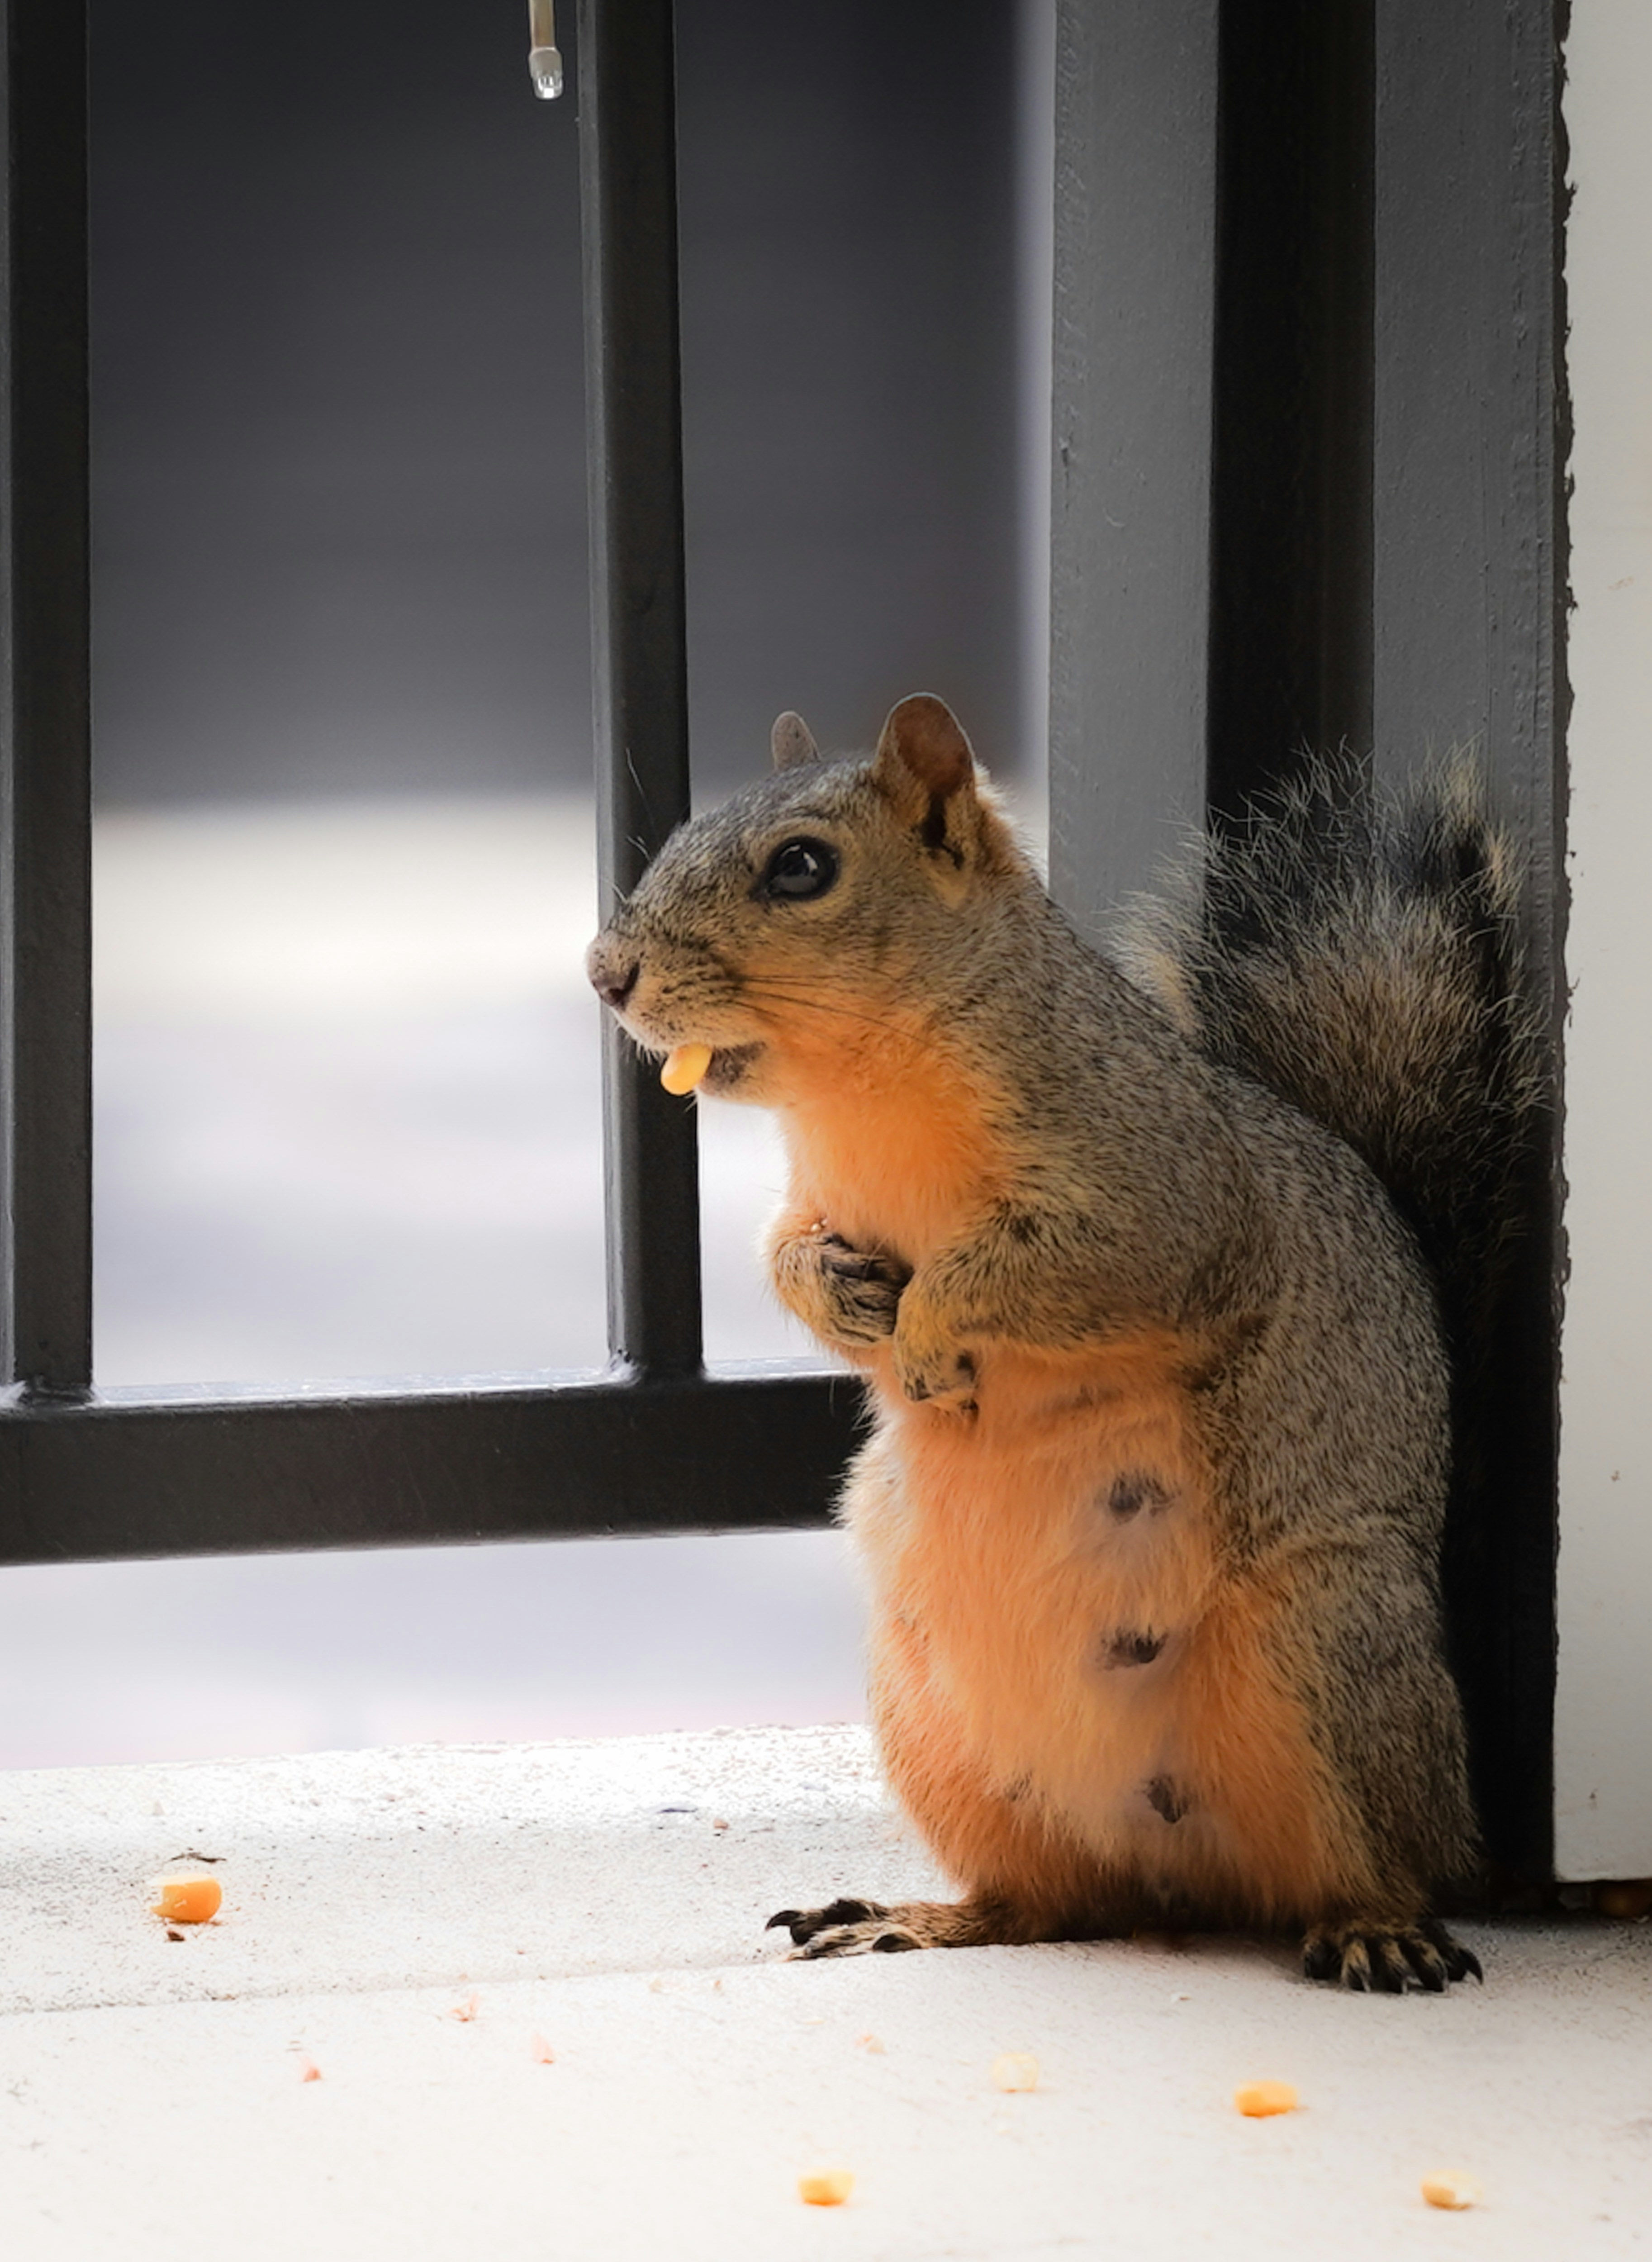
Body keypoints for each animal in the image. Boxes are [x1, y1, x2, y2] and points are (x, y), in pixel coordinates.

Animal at [586, 692, 1542, 1992]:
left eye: (801, 868)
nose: (605, 972)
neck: (861, 1095)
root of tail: (1185, 1877)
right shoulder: (812, 1195)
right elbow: (787, 1254)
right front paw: (842, 1299)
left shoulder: (1159, 1196)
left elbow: (1043, 1268)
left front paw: (928, 1326)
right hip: (933, 1722)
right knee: (1045, 1903)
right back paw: (912, 1917)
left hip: (1328, 1646)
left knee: (1381, 1859)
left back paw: (1375, 1928)